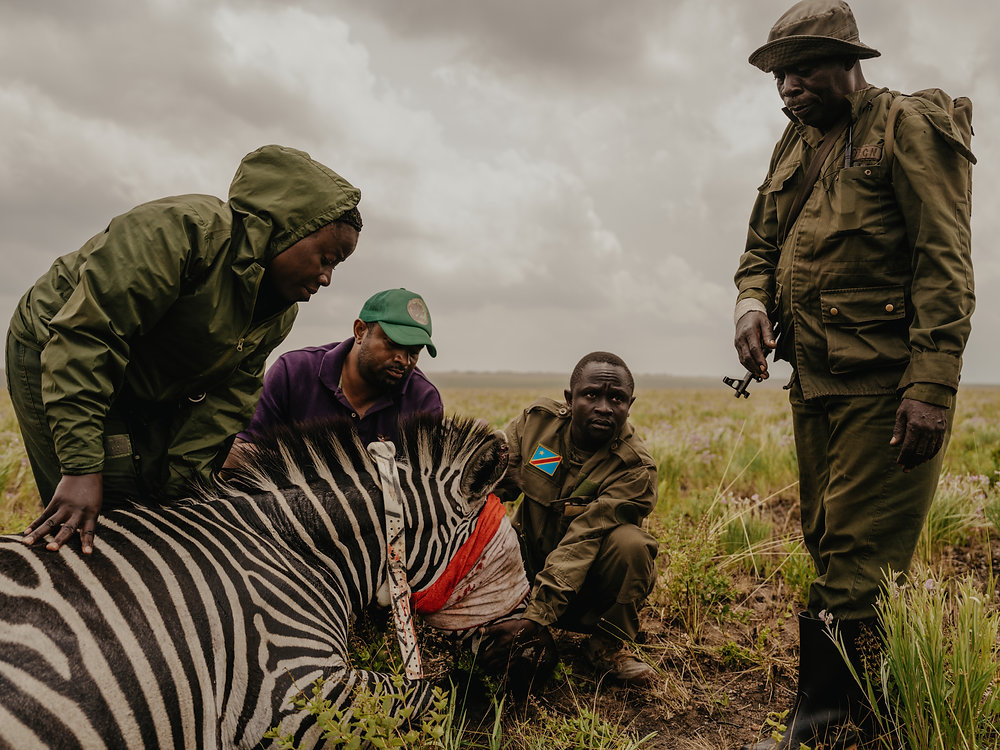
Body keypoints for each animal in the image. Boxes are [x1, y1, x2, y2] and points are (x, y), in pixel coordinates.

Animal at [0, 414, 520, 749]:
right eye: (506, 559)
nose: (523, 647)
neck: (293, 547)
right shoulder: (294, 688)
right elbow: (436, 695)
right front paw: (491, 700)